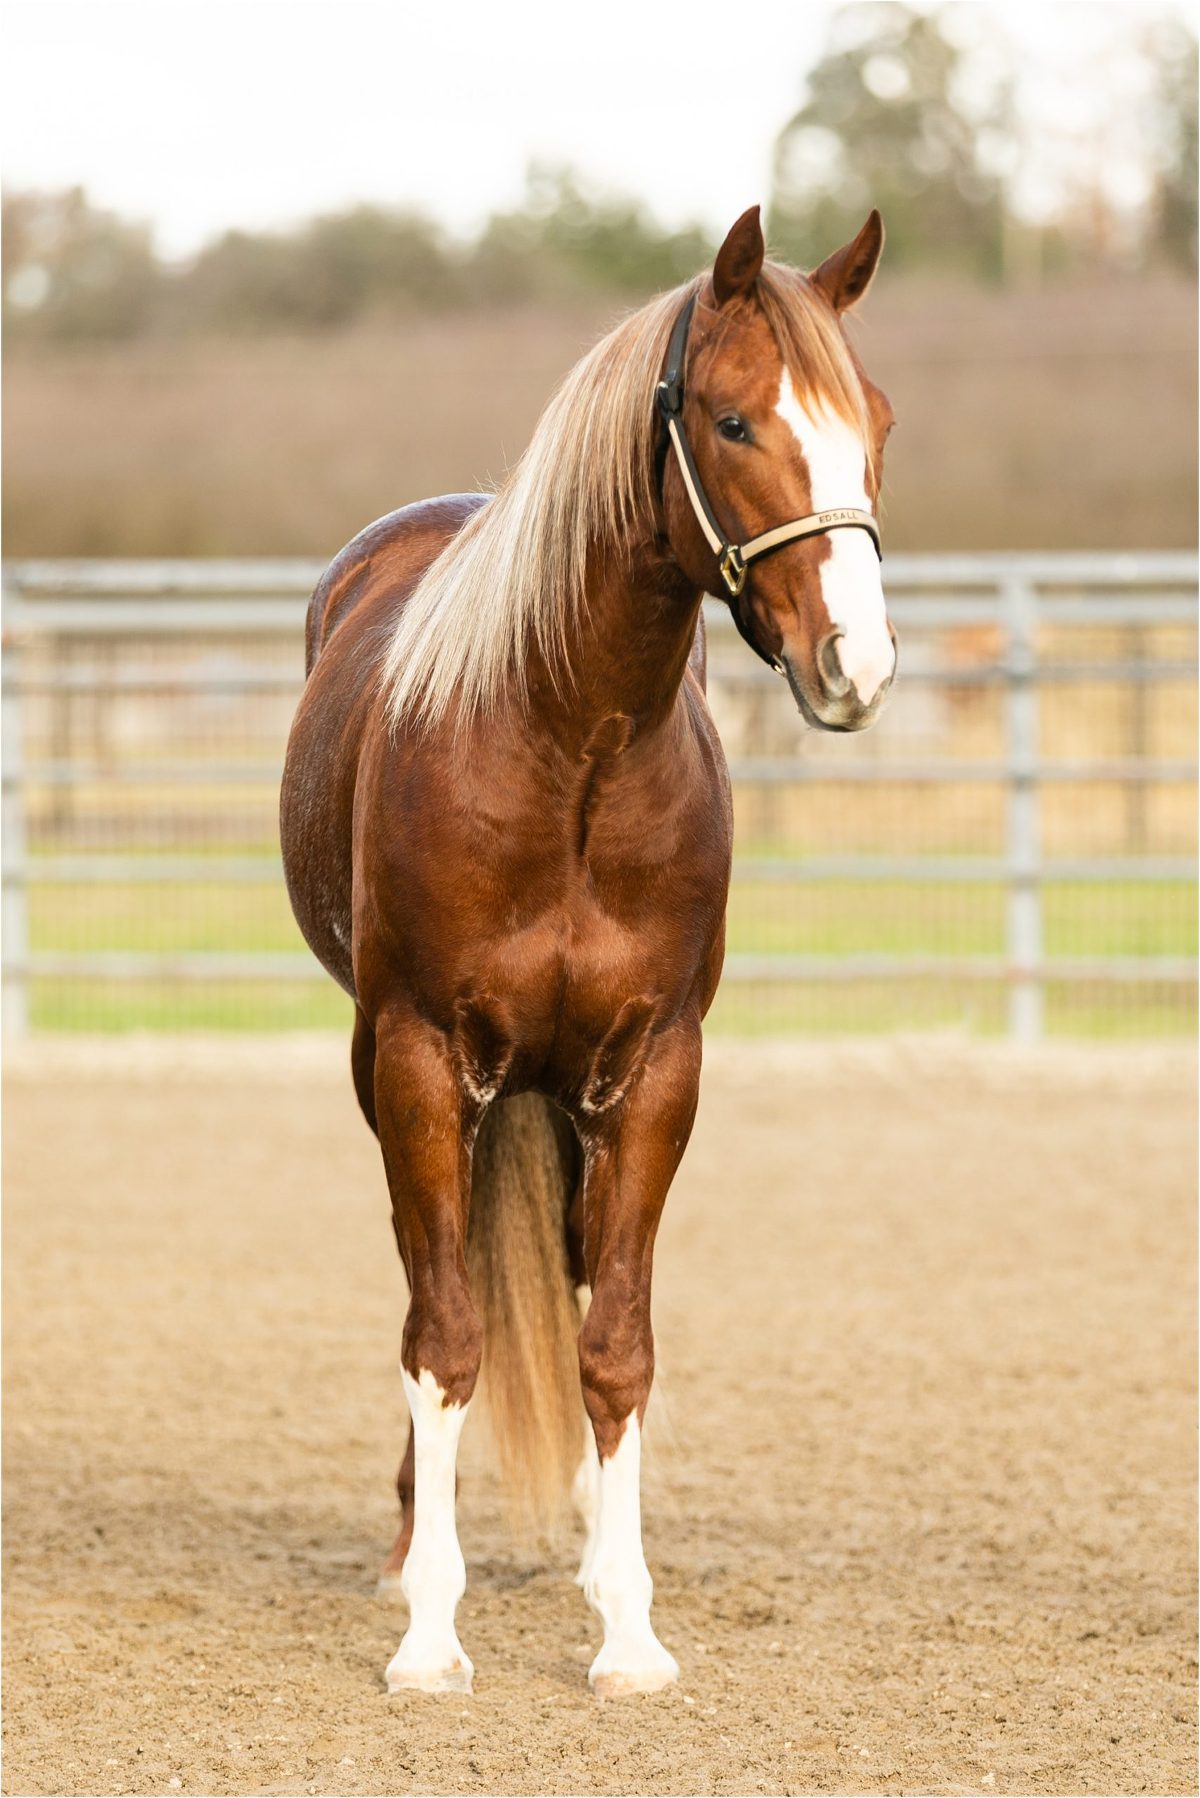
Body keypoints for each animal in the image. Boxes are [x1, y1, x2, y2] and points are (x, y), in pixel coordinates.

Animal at [279, 203, 896, 1699]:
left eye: (879, 423)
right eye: (732, 420)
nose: (856, 663)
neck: (571, 744)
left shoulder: (655, 1073)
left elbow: (614, 1345)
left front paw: (627, 1627)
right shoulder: (422, 1065)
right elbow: (444, 1336)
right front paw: (429, 1633)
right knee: (431, 1288)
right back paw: (412, 1546)